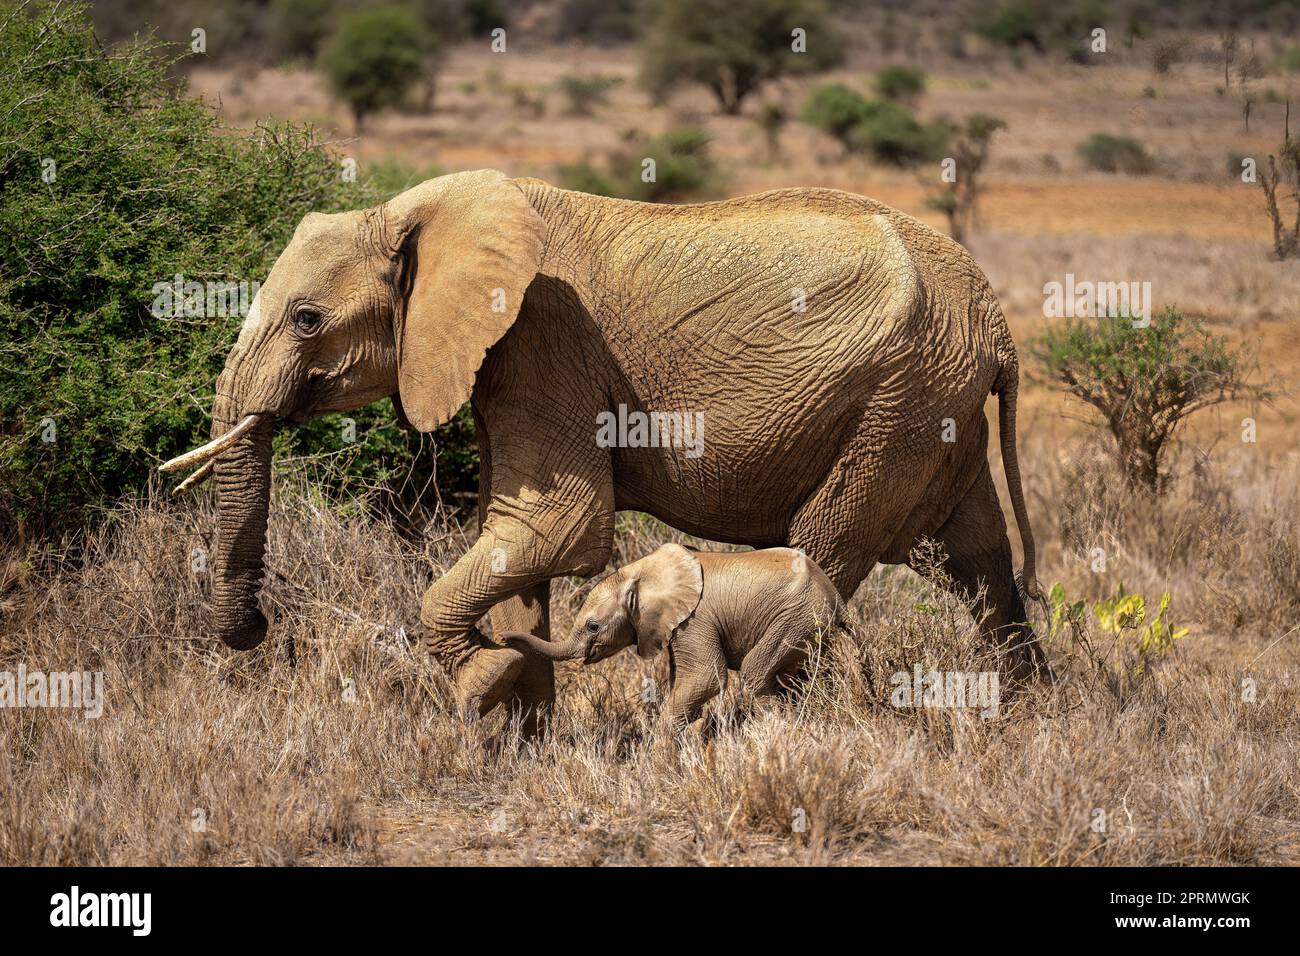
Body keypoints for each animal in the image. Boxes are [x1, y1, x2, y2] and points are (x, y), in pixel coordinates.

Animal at [504, 544, 847, 729]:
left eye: (592, 626)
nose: (504, 639)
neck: (640, 572)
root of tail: (834, 594)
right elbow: (681, 679)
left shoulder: (694, 620)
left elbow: (706, 676)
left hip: (797, 616)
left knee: (755, 671)